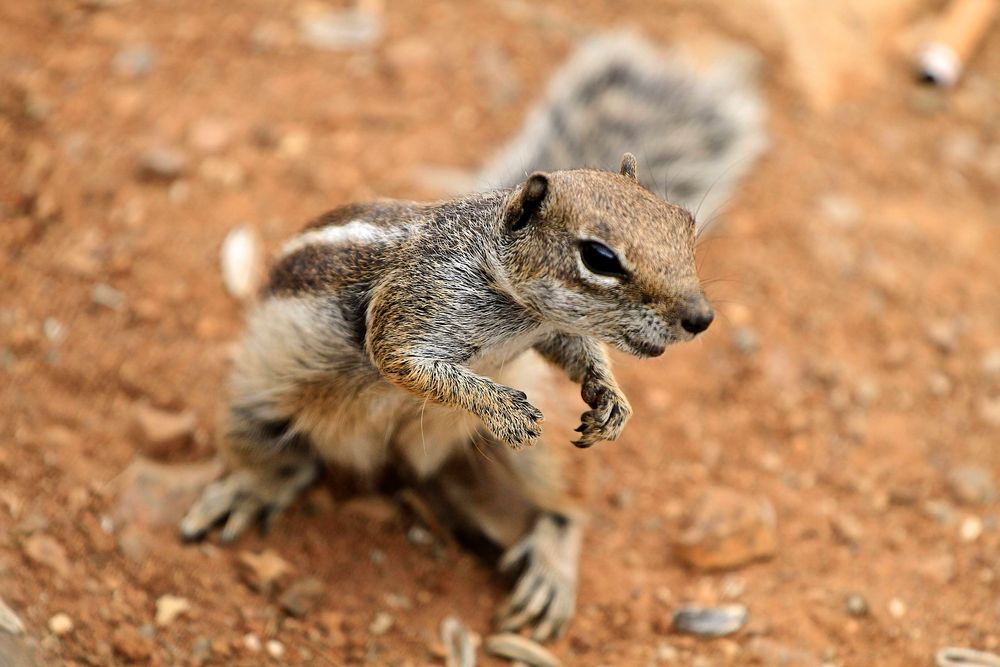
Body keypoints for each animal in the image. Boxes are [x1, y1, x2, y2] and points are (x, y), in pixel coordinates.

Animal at [180, 32, 764, 643]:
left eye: (685, 222)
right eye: (599, 257)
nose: (701, 318)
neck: (511, 297)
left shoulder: (550, 331)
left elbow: (577, 354)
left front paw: (611, 399)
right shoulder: (411, 307)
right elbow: (405, 362)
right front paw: (503, 408)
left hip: (535, 462)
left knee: (562, 509)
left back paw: (549, 574)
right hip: (257, 402)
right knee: (278, 463)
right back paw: (247, 489)